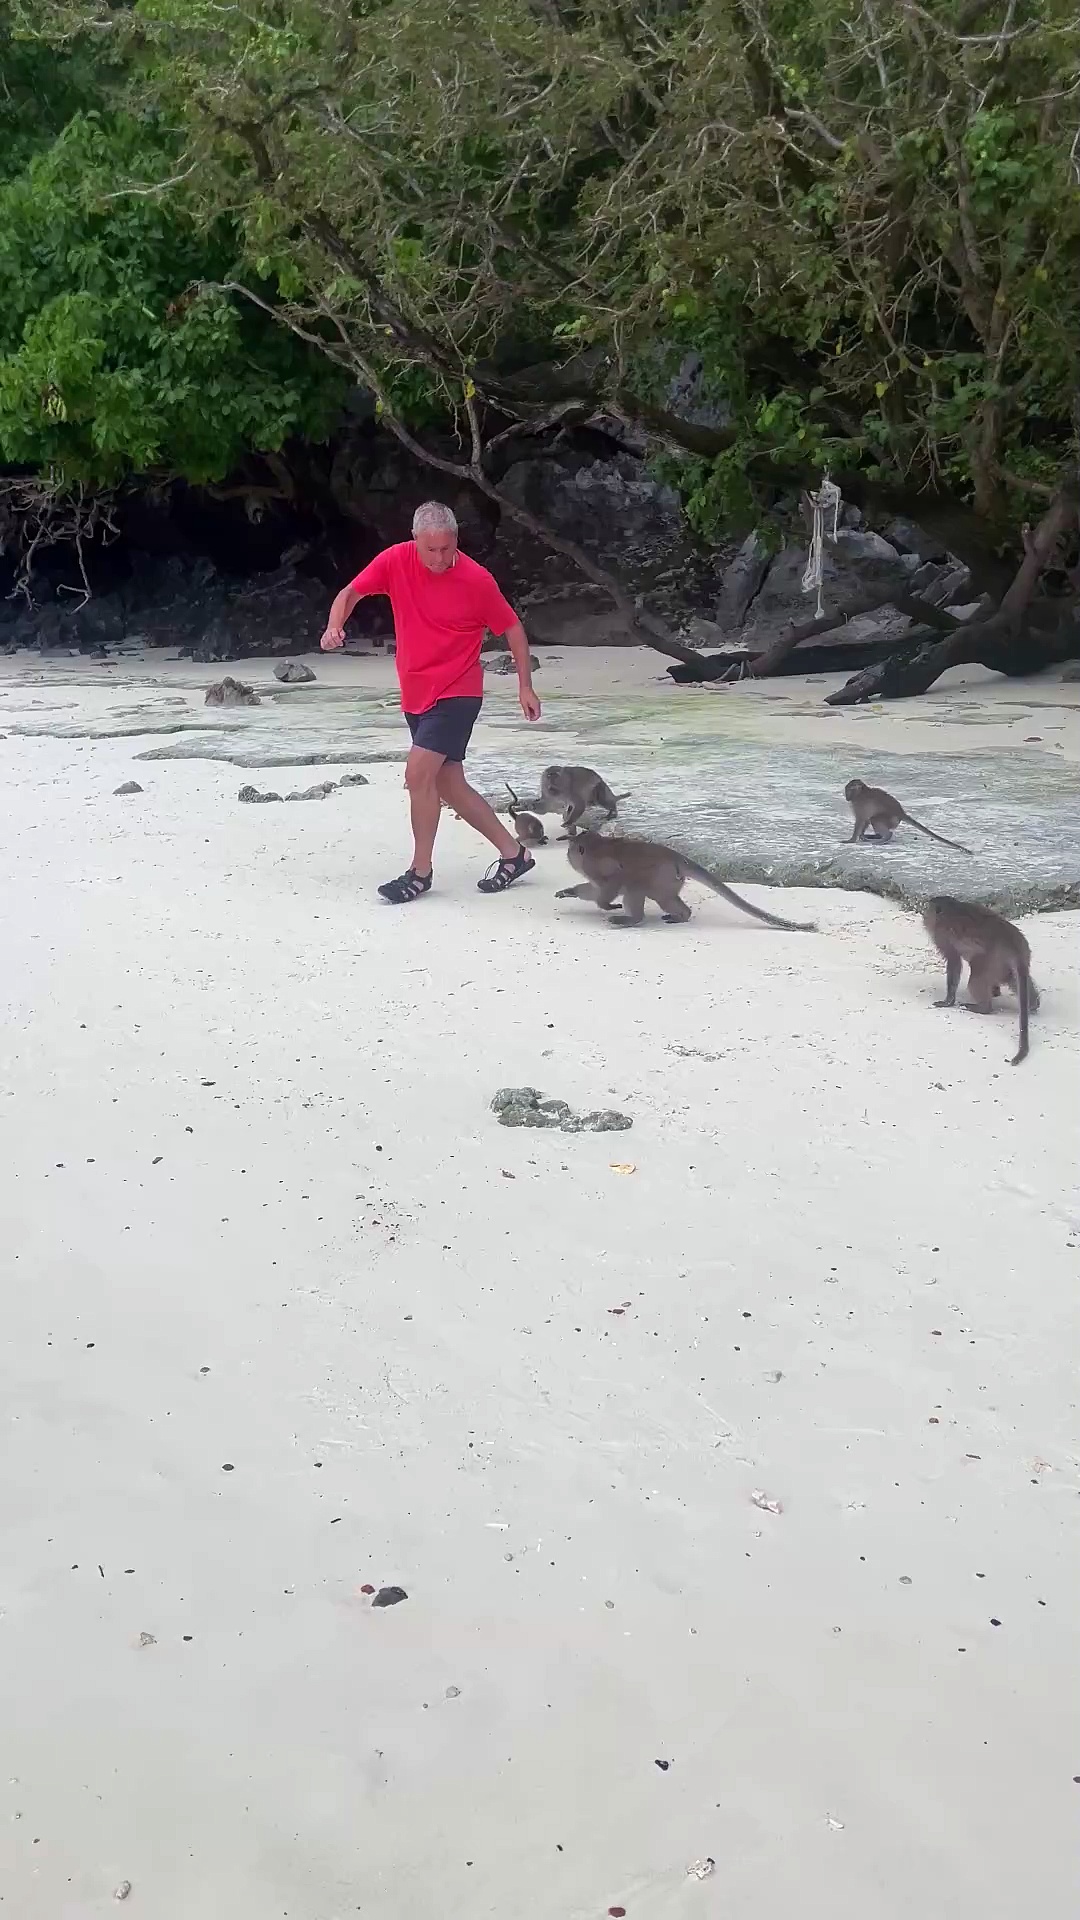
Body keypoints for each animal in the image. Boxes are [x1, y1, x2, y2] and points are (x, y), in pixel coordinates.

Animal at [555, 830, 817, 931]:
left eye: (572, 850)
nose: (567, 855)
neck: (595, 848)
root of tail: (678, 857)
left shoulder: (601, 870)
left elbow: (610, 885)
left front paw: (608, 905)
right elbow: (592, 890)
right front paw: (569, 891)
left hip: (660, 877)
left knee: (638, 889)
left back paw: (632, 919)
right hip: (669, 880)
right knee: (665, 898)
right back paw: (681, 915)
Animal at [922, 895, 1039, 1065]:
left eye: (928, 908)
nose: (924, 914)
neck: (951, 909)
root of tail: (1015, 945)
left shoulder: (942, 936)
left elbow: (954, 963)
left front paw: (947, 1001)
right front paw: (995, 990)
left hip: (991, 960)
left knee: (976, 981)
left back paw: (982, 1008)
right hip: (1004, 964)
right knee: (1014, 979)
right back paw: (1033, 1005)